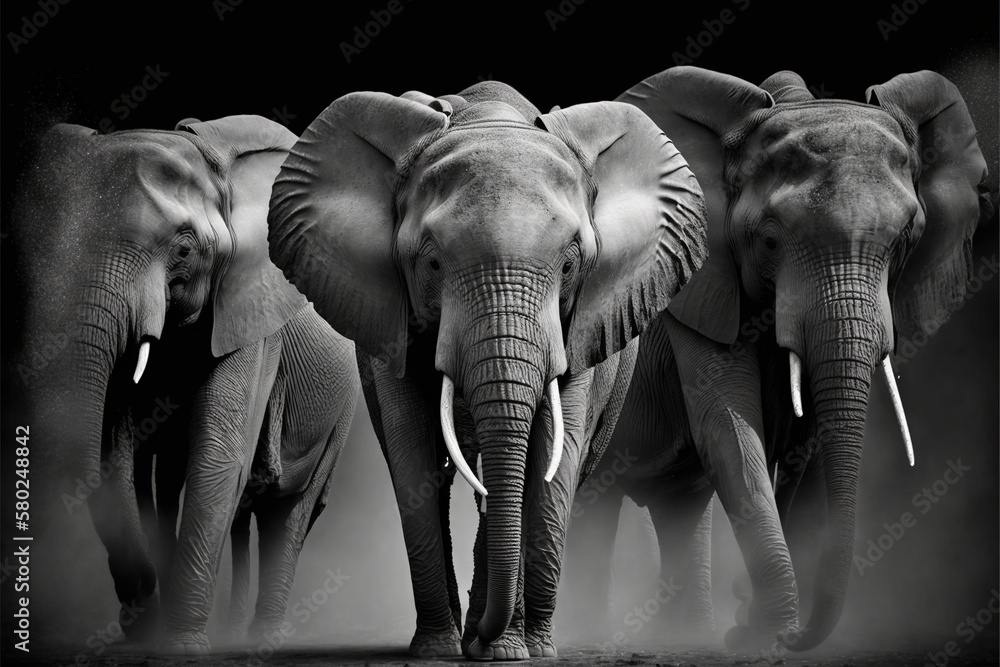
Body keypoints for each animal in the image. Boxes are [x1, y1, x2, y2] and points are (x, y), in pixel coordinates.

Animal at [15, 115, 360, 654]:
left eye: (182, 250)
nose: (136, 612)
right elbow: (119, 454)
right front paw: (148, 637)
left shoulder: (254, 312)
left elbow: (219, 457)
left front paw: (181, 645)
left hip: (344, 409)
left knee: (291, 510)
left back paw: (261, 640)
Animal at [267, 80, 709, 659]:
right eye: (432, 263)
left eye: (571, 265)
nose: (478, 642)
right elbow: (412, 450)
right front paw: (436, 651)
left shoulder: (580, 325)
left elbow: (553, 455)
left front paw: (521, 652)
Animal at [562, 66, 995, 652]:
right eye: (768, 241)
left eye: (906, 241)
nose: (795, 636)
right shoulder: (699, 287)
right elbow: (728, 428)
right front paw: (764, 633)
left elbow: (806, 447)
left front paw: (759, 629)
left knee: (677, 502)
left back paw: (683, 636)